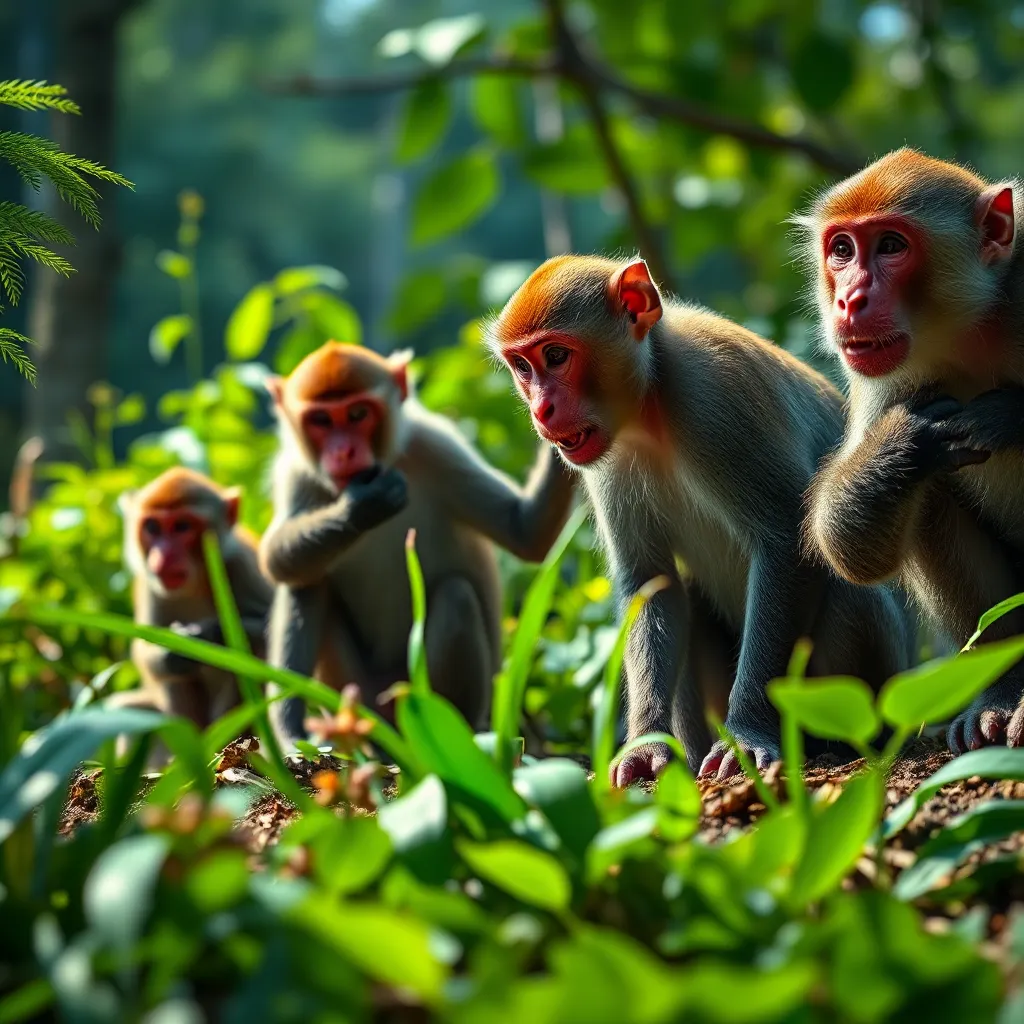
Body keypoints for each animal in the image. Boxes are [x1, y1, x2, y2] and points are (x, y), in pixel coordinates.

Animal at [110, 468, 273, 756]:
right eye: (152, 527)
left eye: (182, 527)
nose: (163, 555)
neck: (195, 582)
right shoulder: (152, 586)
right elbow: (144, 651)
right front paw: (176, 651)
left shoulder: (243, 565)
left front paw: (209, 634)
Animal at [259, 340, 577, 753]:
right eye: (322, 421)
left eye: (358, 414)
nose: (343, 452)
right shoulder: (297, 473)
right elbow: (276, 562)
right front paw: (363, 506)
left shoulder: (434, 444)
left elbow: (524, 531)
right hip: (360, 694)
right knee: (309, 584)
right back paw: (301, 733)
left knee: (456, 596)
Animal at [488, 254, 913, 785]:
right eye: (523, 366)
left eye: (557, 356)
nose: (540, 409)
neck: (650, 405)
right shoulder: (608, 459)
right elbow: (651, 581)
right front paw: (646, 746)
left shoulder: (715, 391)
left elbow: (786, 541)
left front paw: (747, 735)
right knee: (689, 598)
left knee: (847, 591)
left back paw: (832, 742)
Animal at [797, 147, 1024, 755]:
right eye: (842, 250)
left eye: (892, 246)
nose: (849, 299)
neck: (973, 328)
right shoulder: (887, 379)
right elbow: (849, 547)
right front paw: (907, 439)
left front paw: (1002, 415)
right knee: (927, 492)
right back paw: (1006, 693)